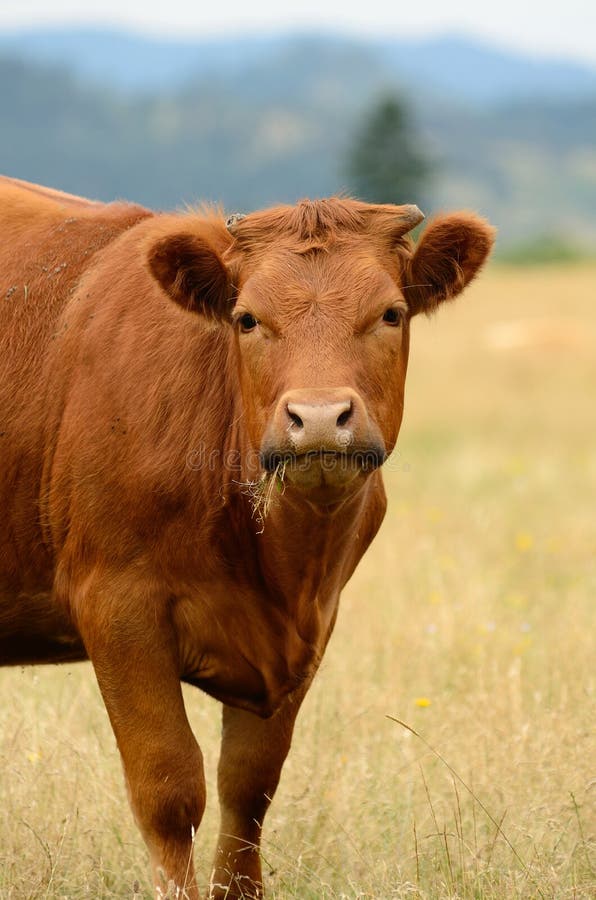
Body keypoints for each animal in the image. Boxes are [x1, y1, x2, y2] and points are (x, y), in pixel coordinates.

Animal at [0, 175, 494, 898]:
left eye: (391, 314)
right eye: (248, 319)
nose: (318, 418)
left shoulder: (309, 628)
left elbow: (249, 788)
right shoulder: (116, 606)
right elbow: (169, 787)